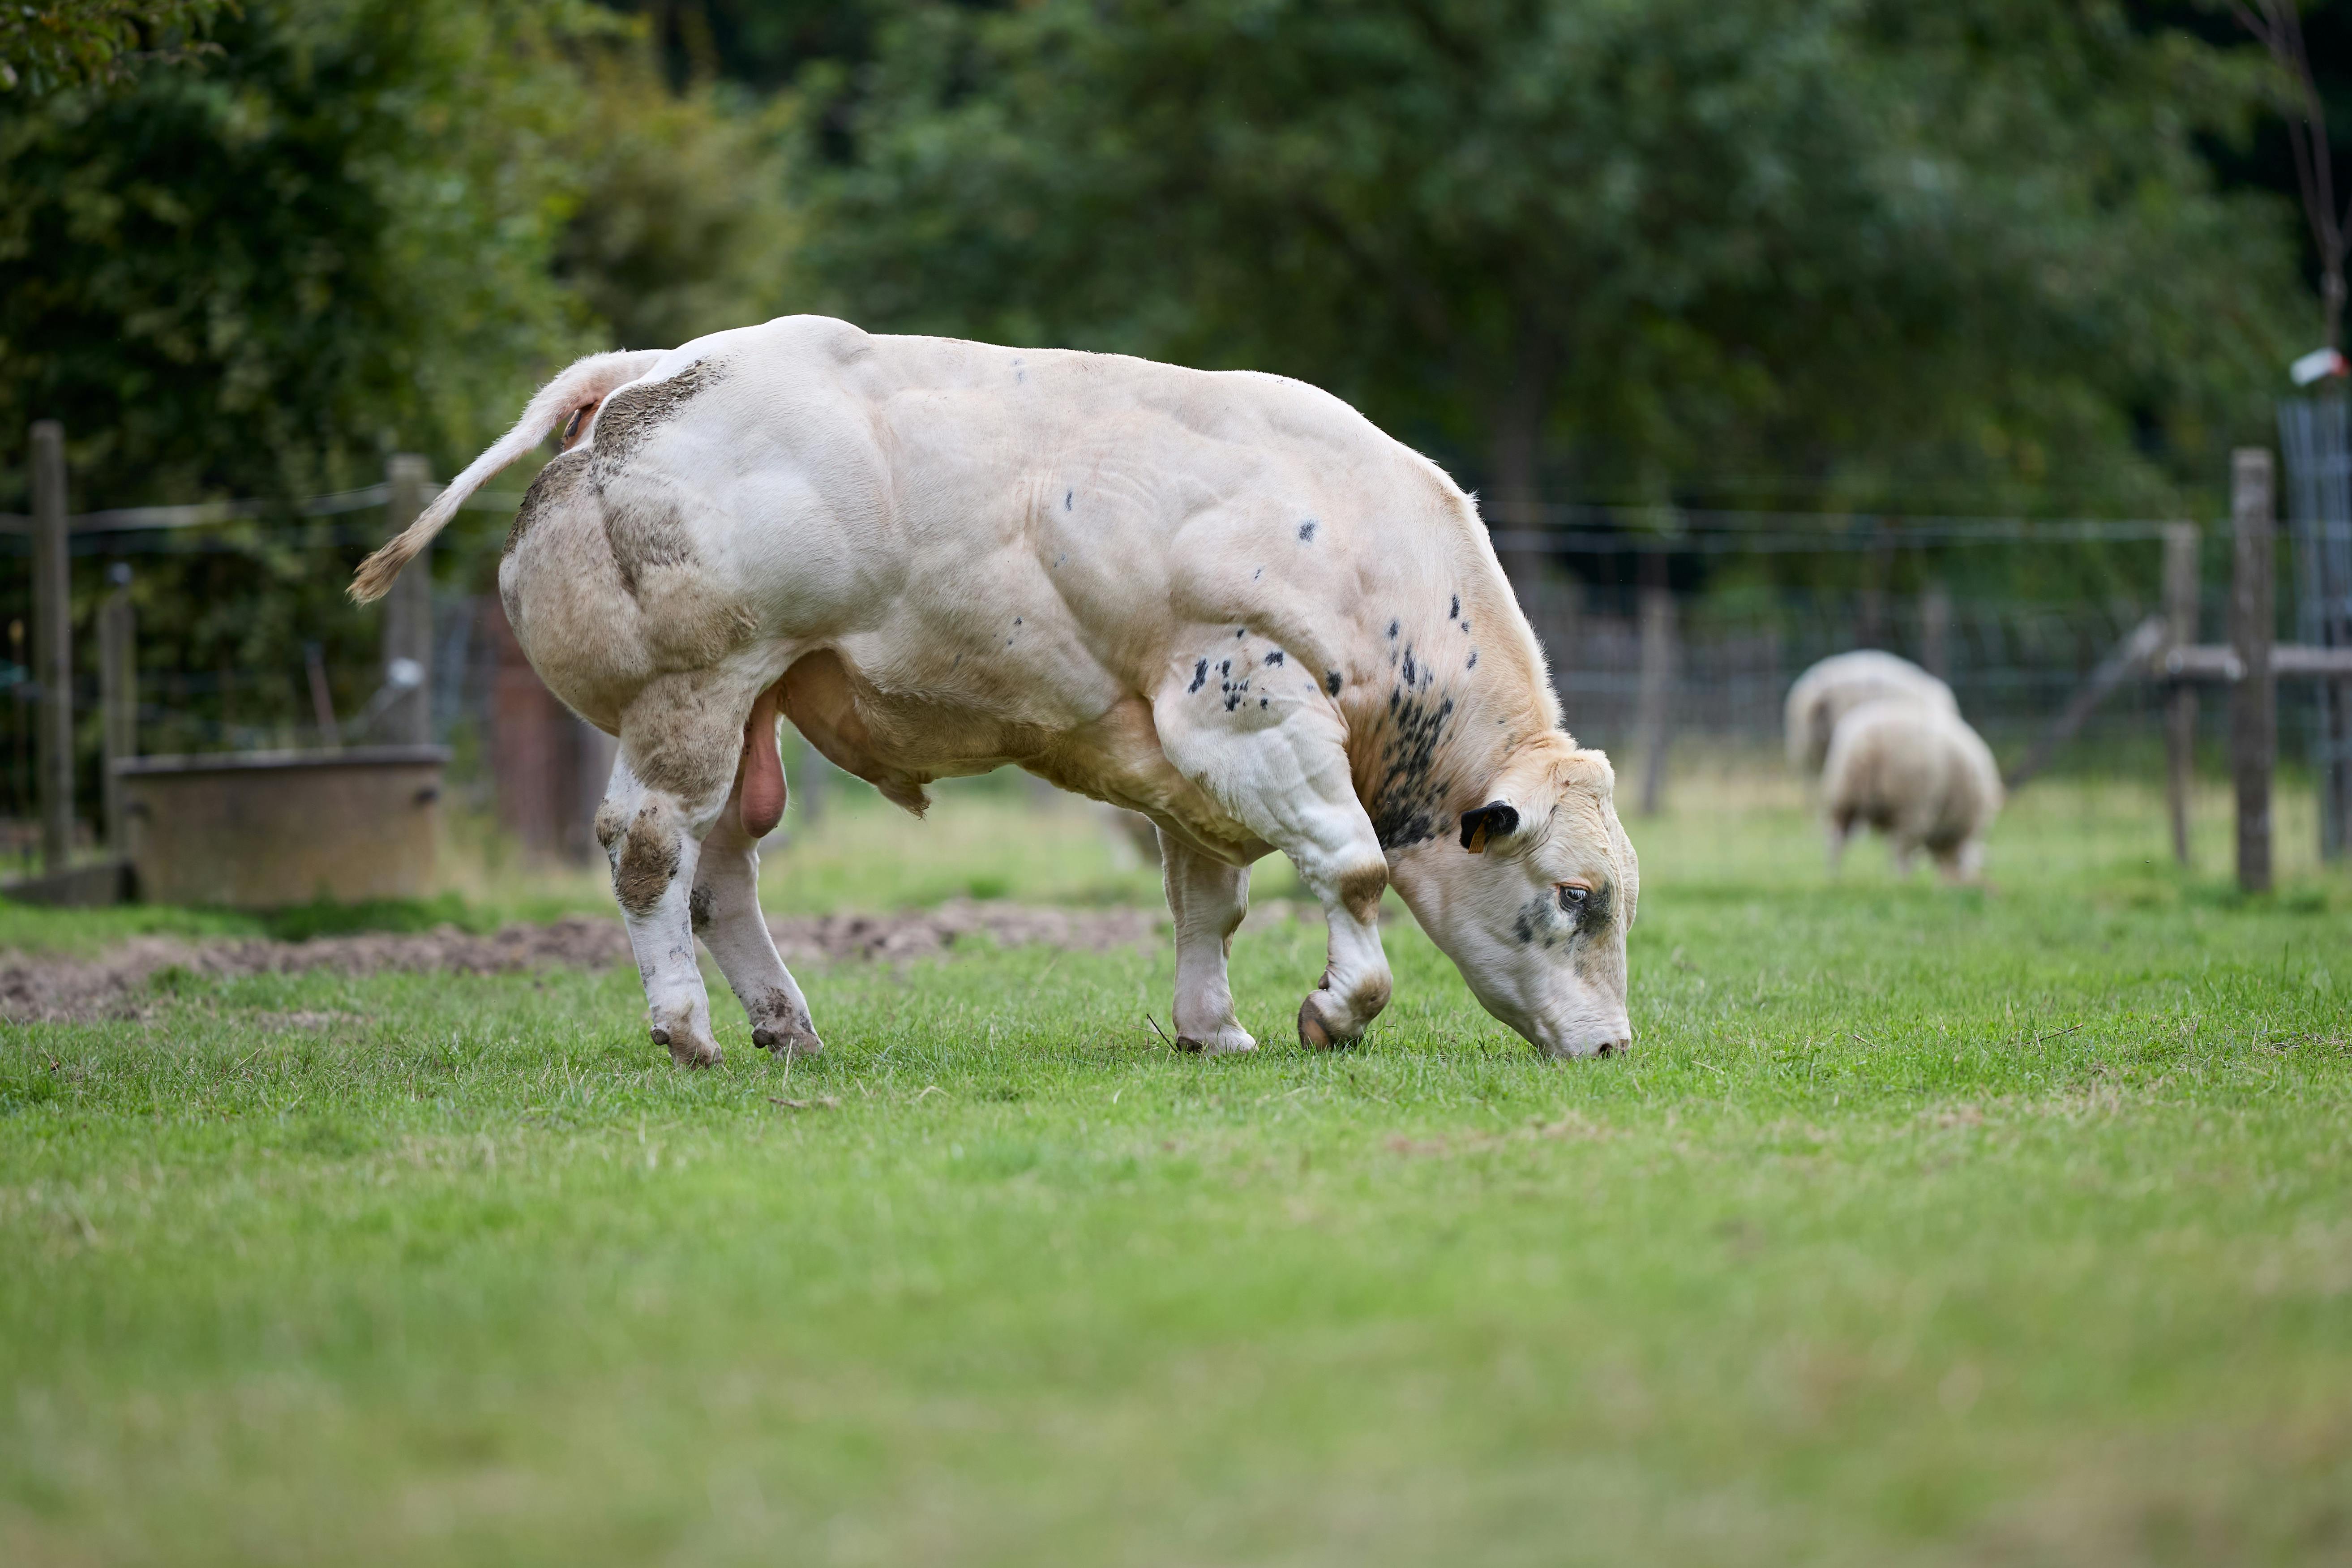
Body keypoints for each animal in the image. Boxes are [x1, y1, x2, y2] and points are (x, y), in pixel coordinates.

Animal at [352, 316, 1638, 1064]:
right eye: (1576, 894)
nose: (1616, 1045)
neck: (1365, 556)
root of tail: (646, 372)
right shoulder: (1248, 707)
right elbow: (1354, 867)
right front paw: (1333, 1009)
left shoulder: (1191, 770)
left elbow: (1207, 906)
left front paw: (1212, 1026)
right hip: (691, 690)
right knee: (648, 846)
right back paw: (687, 1026)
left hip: (752, 710)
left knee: (721, 871)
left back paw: (782, 1021)